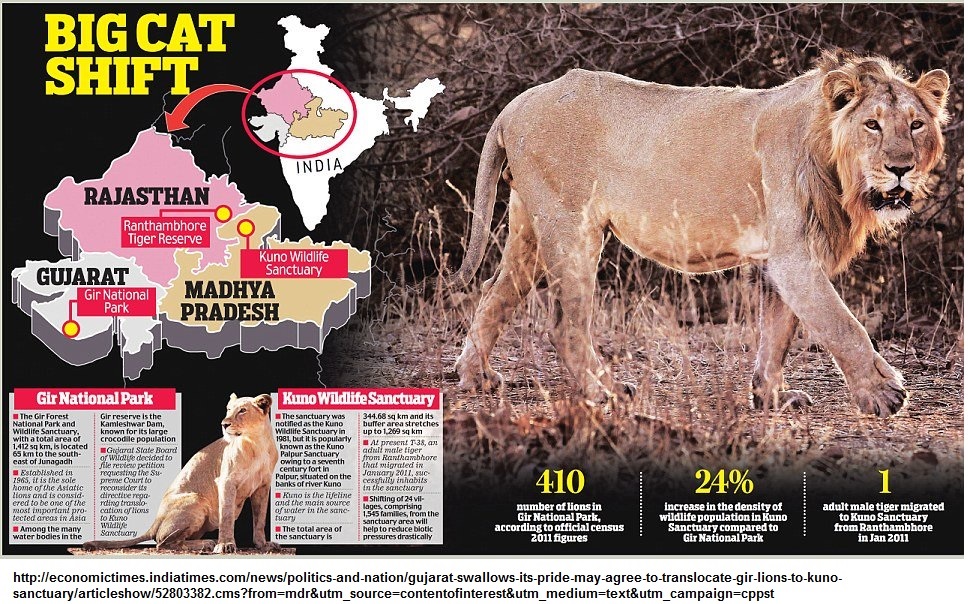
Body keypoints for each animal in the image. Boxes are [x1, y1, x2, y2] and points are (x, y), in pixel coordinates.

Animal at [82, 393, 280, 553]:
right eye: (229, 410)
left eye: (243, 410)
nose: (224, 424)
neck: (256, 443)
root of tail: (155, 521)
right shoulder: (226, 481)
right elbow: (226, 515)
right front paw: (224, 545)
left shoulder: (263, 486)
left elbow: (260, 519)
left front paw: (263, 545)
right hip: (197, 500)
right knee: (162, 543)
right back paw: (207, 543)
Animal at [453, 50, 949, 418]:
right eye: (872, 124)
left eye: (916, 124)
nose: (901, 168)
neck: (832, 158)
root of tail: (514, 105)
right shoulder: (794, 256)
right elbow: (843, 325)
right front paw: (883, 394)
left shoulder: (778, 258)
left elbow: (778, 332)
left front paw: (771, 397)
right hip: (571, 227)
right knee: (564, 325)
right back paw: (605, 392)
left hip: (529, 230)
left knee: (493, 293)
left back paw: (477, 377)